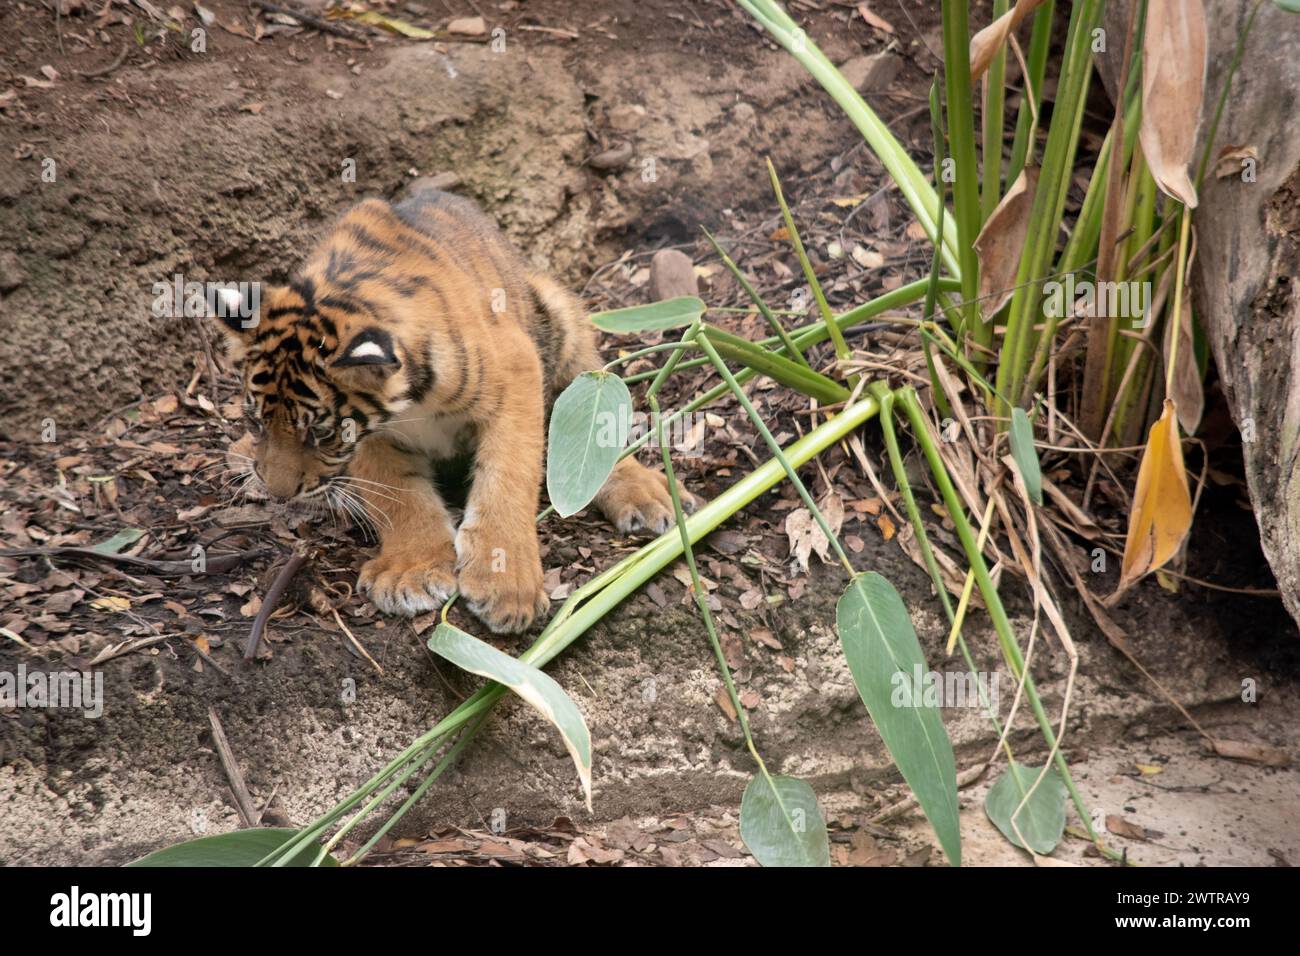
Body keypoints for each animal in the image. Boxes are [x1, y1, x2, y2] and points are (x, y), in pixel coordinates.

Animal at [209, 185, 695, 634]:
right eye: (255, 421)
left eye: (322, 434)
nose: (278, 493)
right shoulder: (371, 436)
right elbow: (397, 494)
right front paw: (412, 571)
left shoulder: (517, 368)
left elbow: (507, 476)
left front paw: (506, 583)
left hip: (563, 332)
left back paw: (647, 494)